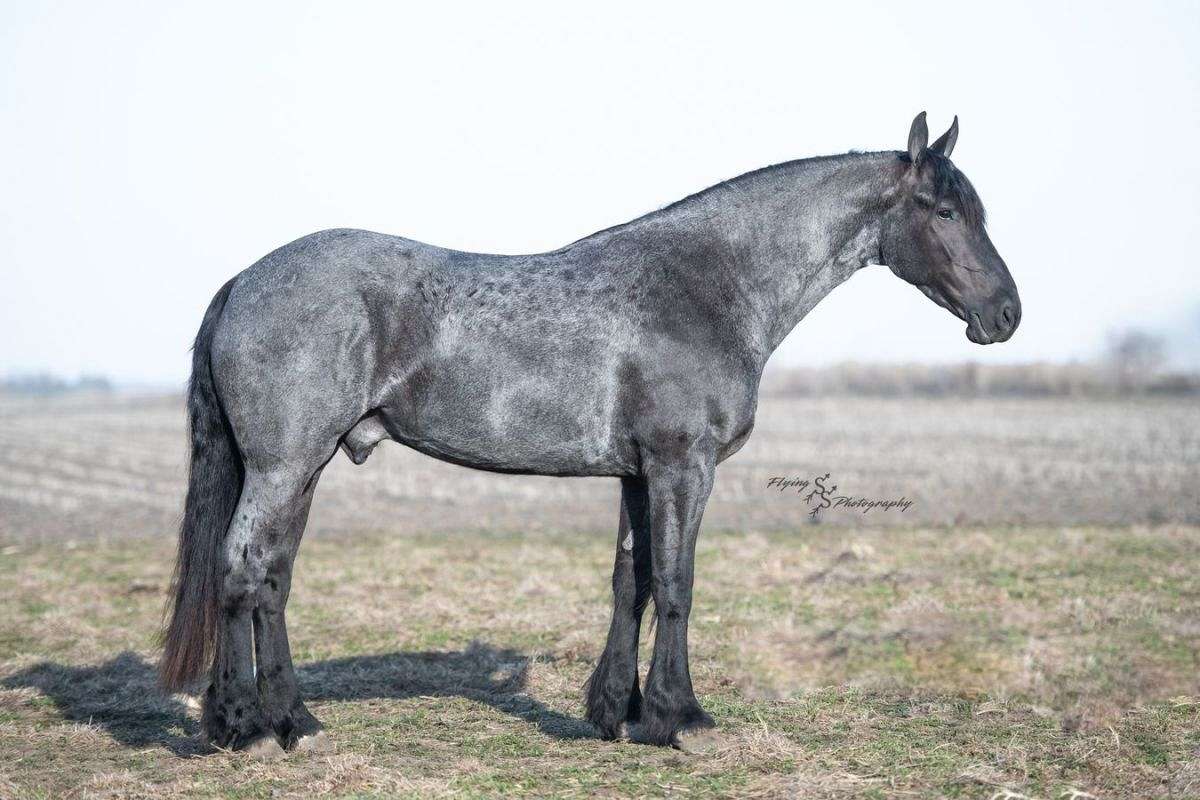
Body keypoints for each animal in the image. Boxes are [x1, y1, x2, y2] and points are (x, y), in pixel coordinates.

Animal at [159, 112, 1021, 755]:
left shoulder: (638, 473)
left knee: (272, 579)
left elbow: (629, 581)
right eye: (946, 212)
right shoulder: (682, 466)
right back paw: (249, 728)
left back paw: (287, 721)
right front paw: (683, 717)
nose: (1006, 314)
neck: (710, 284)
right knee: (242, 570)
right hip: (283, 466)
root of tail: (245, 280)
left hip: (301, 471)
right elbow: (676, 582)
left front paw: (618, 713)